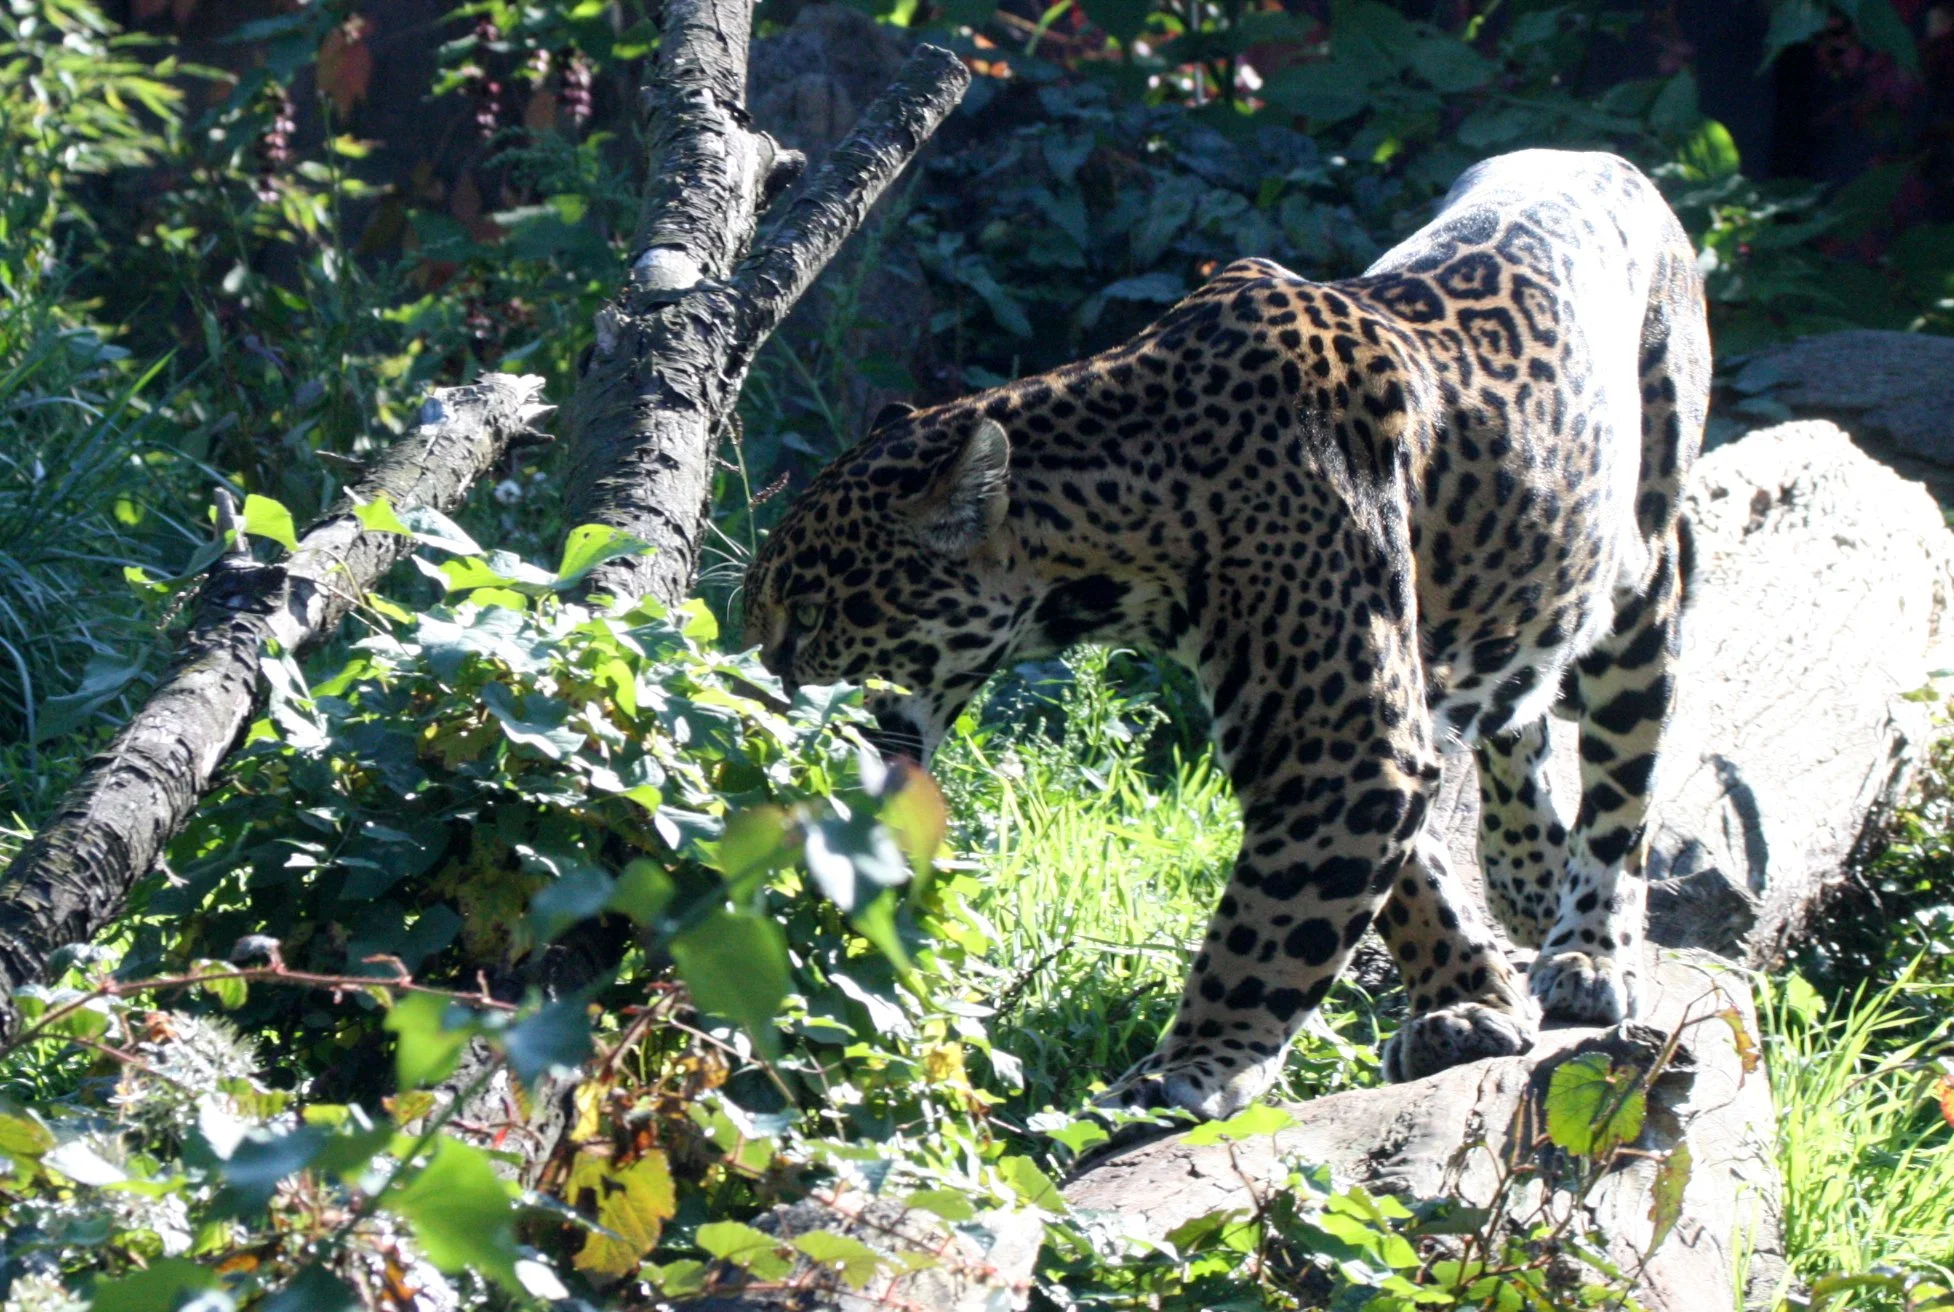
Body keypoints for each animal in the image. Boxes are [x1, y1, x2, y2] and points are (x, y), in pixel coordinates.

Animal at [741, 149, 1709, 1120]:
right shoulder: (1363, 729)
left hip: (1643, 574)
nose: (762, 718)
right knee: (1517, 701)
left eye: (812, 620)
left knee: (1624, 783)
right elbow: (1406, 877)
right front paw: (1466, 1003)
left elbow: (1269, 927)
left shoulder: (1340, 750)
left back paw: (1586, 949)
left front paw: (1183, 1069)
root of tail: (1600, 158)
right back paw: (1525, 876)